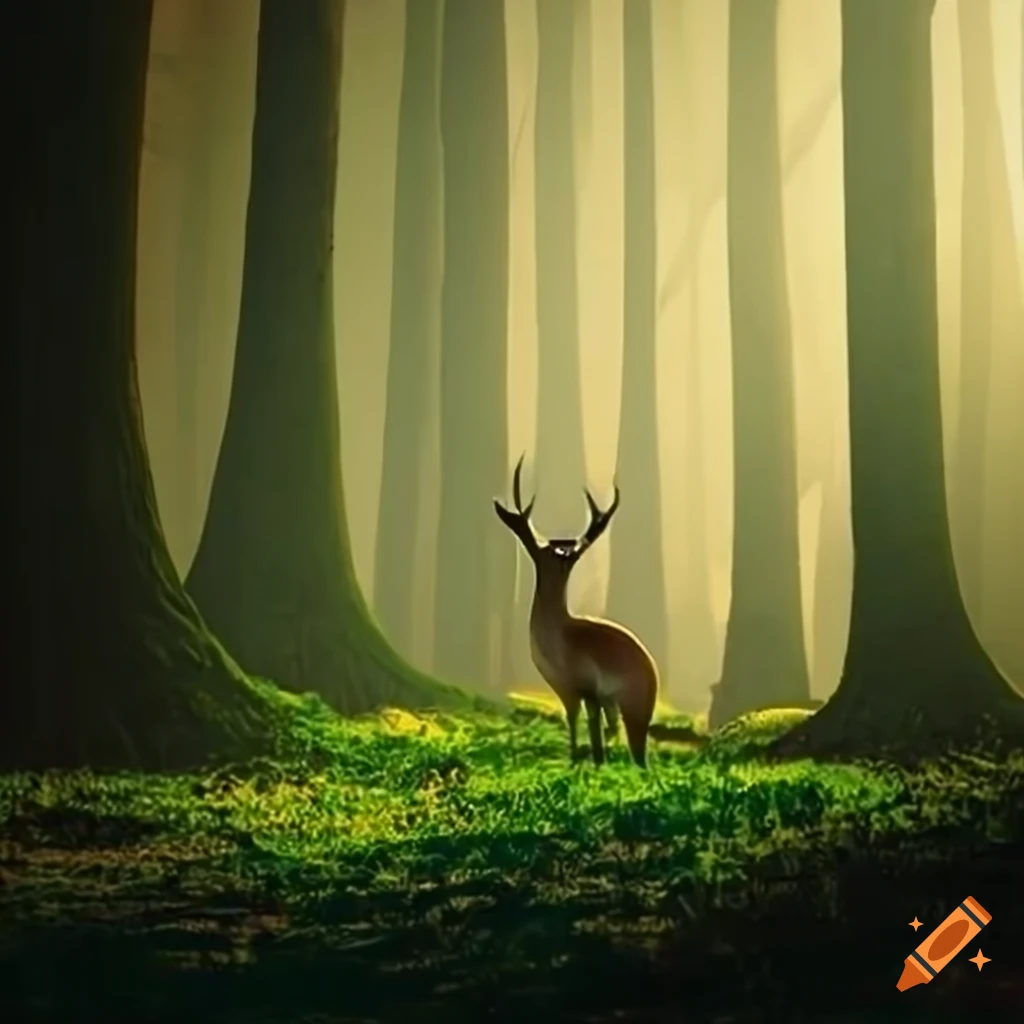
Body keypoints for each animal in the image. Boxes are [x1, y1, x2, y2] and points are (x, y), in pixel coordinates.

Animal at [494, 455, 659, 768]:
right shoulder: (579, 693)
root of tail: (653, 676)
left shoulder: (581, 688)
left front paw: (579, 760)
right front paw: (586, 760)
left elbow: (581, 727)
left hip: (631, 705)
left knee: (634, 745)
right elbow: (587, 731)